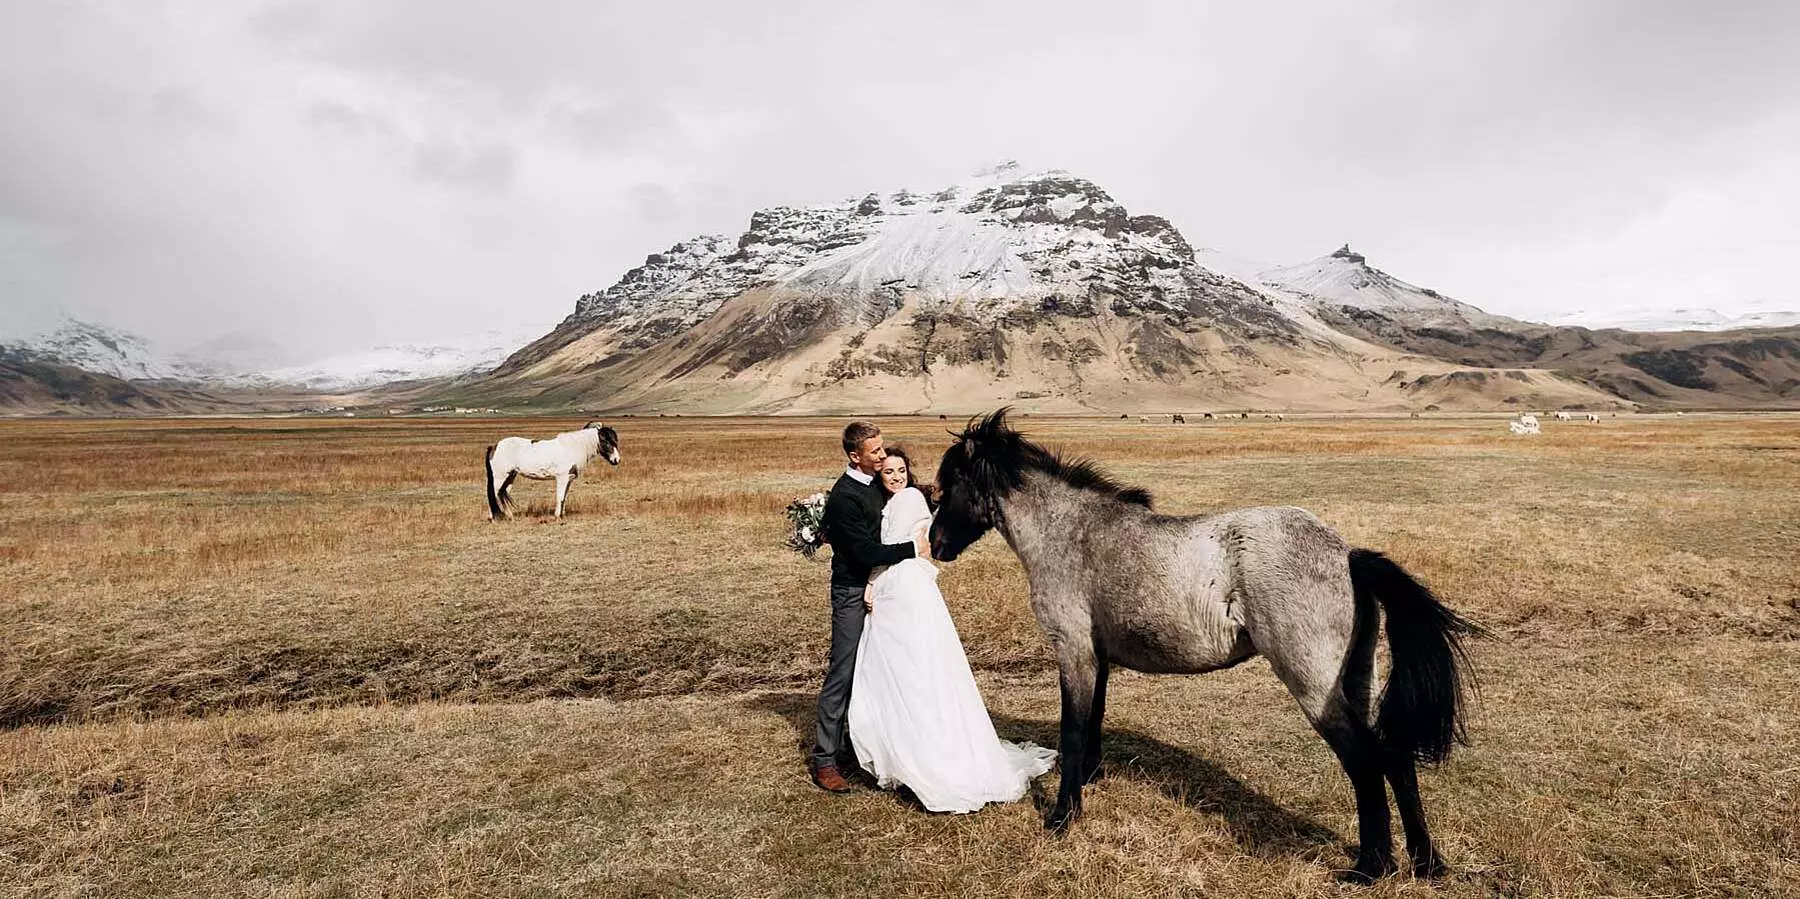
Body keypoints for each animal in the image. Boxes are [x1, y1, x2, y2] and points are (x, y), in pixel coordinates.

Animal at [486, 421, 619, 522]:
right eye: (606, 442)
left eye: (615, 441)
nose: (616, 460)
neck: (572, 448)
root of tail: (495, 446)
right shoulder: (562, 478)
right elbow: (560, 496)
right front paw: (557, 516)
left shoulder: (569, 479)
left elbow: (564, 496)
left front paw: (562, 515)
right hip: (500, 477)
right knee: (495, 493)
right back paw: (495, 518)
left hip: (510, 476)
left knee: (502, 493)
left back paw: (508, 516)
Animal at [921, 412, 1483, 882]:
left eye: (949, 486)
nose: (937, 545)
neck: (1072, 535)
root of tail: (1347, 553)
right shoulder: (1098, 659)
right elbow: (1094, 721)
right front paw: (1090, 783)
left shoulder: (1074, 653)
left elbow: (1074, 731)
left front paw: (1063, 816)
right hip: (1356, 680)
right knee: (1396, 756)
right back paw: (1425, 864)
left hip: (1314, 687)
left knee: (1366, 761)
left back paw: (1370, 867)